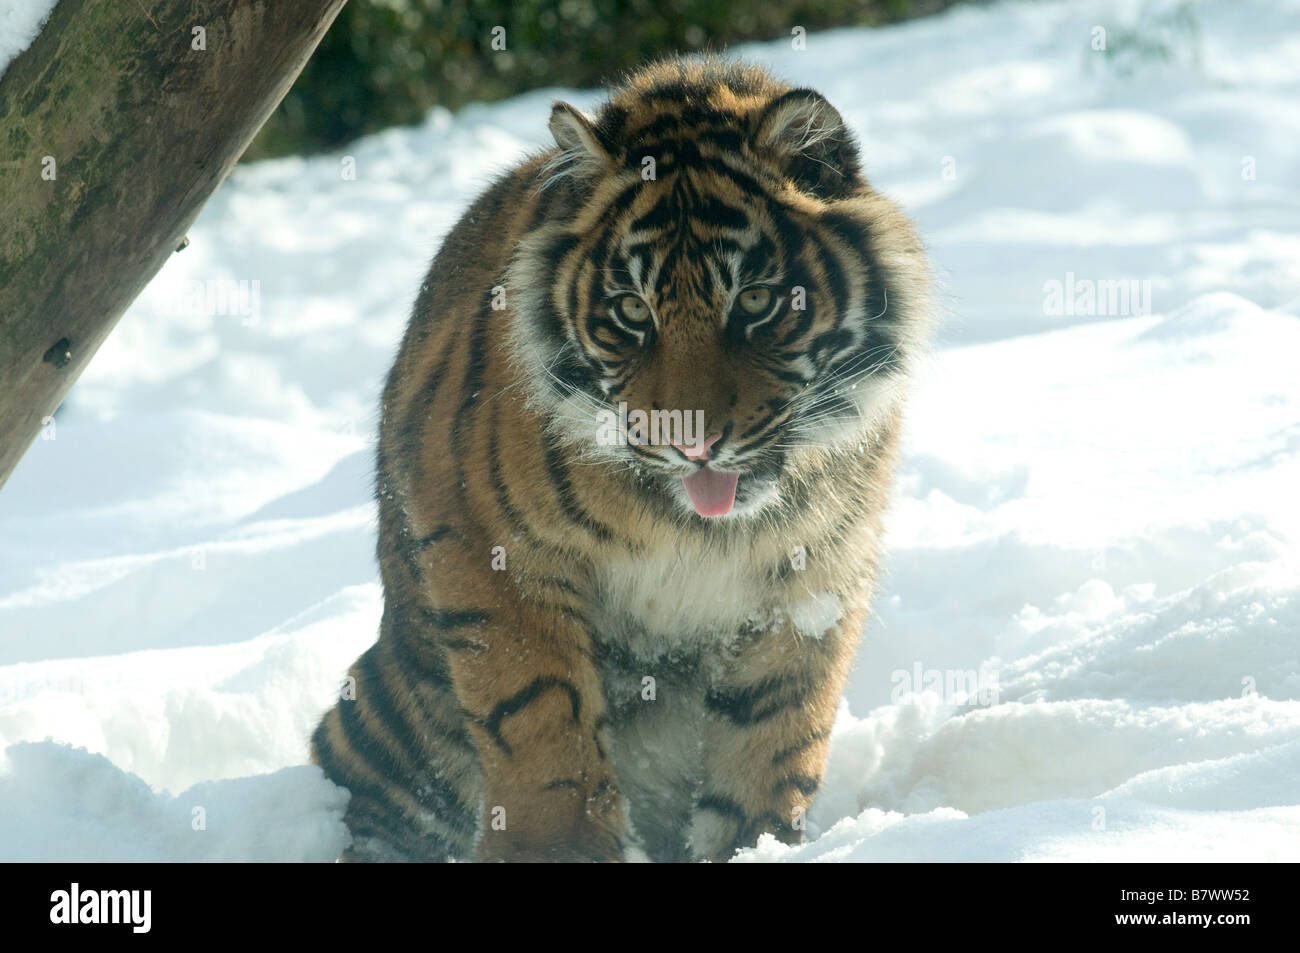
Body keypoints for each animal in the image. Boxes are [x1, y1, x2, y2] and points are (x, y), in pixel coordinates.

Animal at [310, 55, 932, 863]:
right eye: (632, 311)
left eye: (756, 300)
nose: (691, 440)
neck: (694, 527)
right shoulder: (489, 551)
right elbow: (538, 712)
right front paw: (558, 848)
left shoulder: (812, 574)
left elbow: (776, 731)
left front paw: (756, 843)